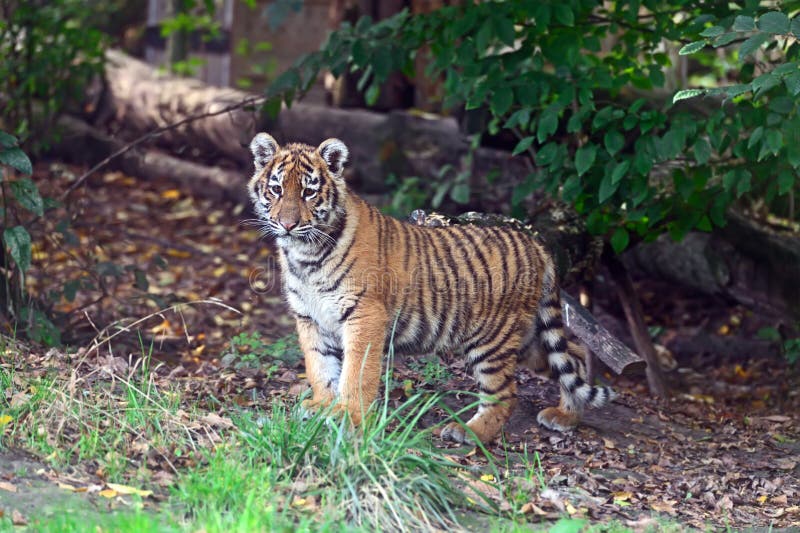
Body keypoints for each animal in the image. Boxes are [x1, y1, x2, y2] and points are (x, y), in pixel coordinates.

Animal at [247, 132, 616, 444]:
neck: (304, 254)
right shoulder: (309, 317)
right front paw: (322, 405)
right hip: (526, 338)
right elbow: (319, 366)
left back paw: (470, 433)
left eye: (309, 191)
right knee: (572, 355)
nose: (288, 224)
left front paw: (347, 418)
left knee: (505, 394)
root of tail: (534, 243)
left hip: (492, 341)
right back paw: (566, 417)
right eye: (277, 189)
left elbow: (355, 374)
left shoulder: (364, 315)